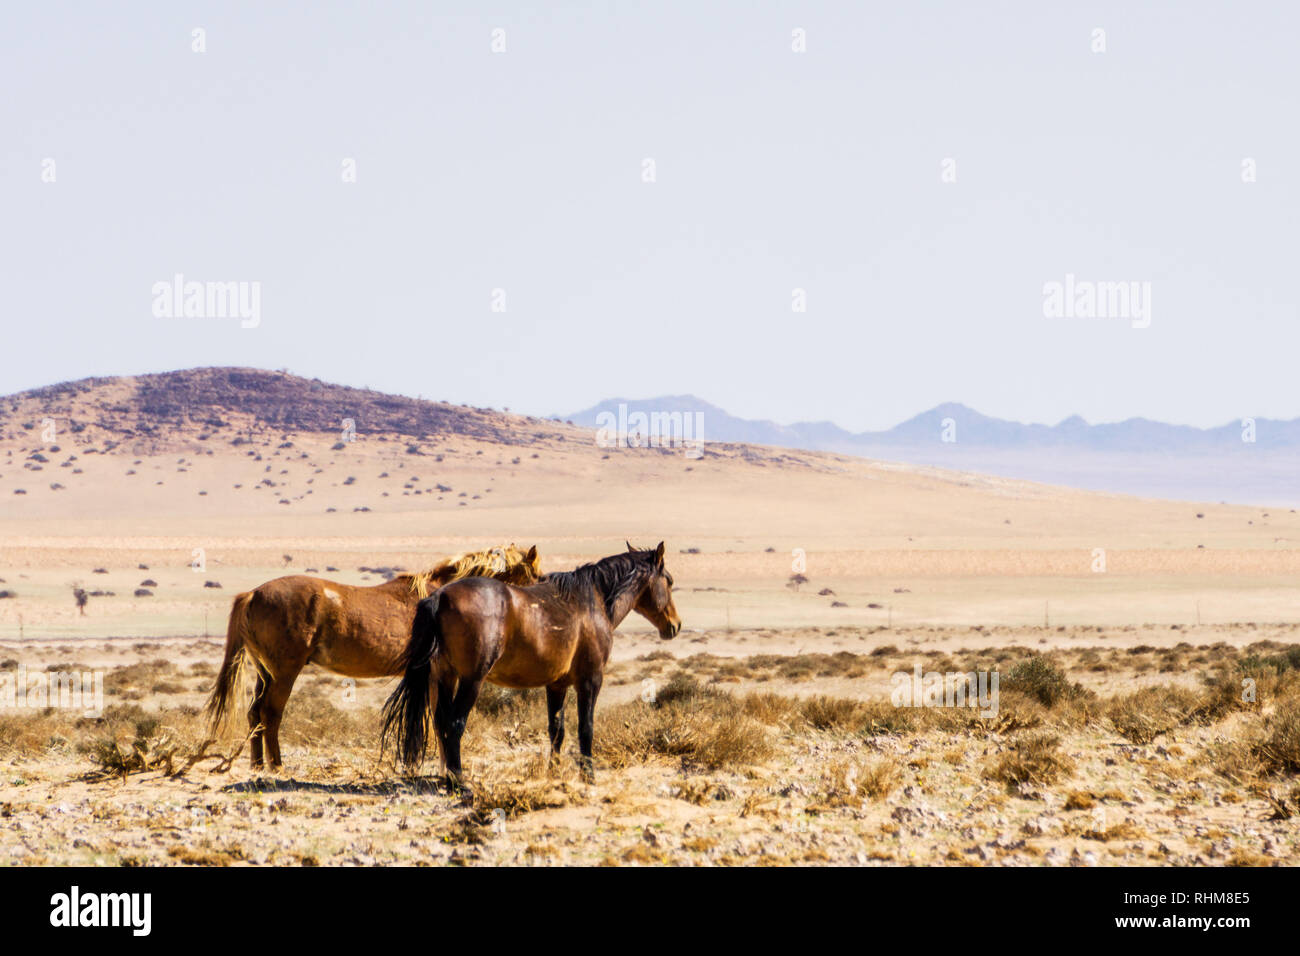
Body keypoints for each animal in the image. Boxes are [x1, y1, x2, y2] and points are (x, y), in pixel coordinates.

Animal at [204, 544, 542, 770]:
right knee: (270, 714)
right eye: (536, 575)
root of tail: (253, 594)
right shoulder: (437, 673)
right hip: (284, 673)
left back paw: (258, 765)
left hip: (265, 673)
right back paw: (277, 765)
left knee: (254, 713)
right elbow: (437, 719)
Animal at [381, 542, 680, 783]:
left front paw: (554, 772)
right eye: (669, 581)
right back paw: (460, 783)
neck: (590, 602)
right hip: (471, 681)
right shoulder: (590, 681)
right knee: (455, 725)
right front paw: (589, 776)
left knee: (442, 723)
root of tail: (439, 597)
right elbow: (586, 729)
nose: (675, 626)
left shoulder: (557, 685)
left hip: (447, 677)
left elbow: (557, 730)